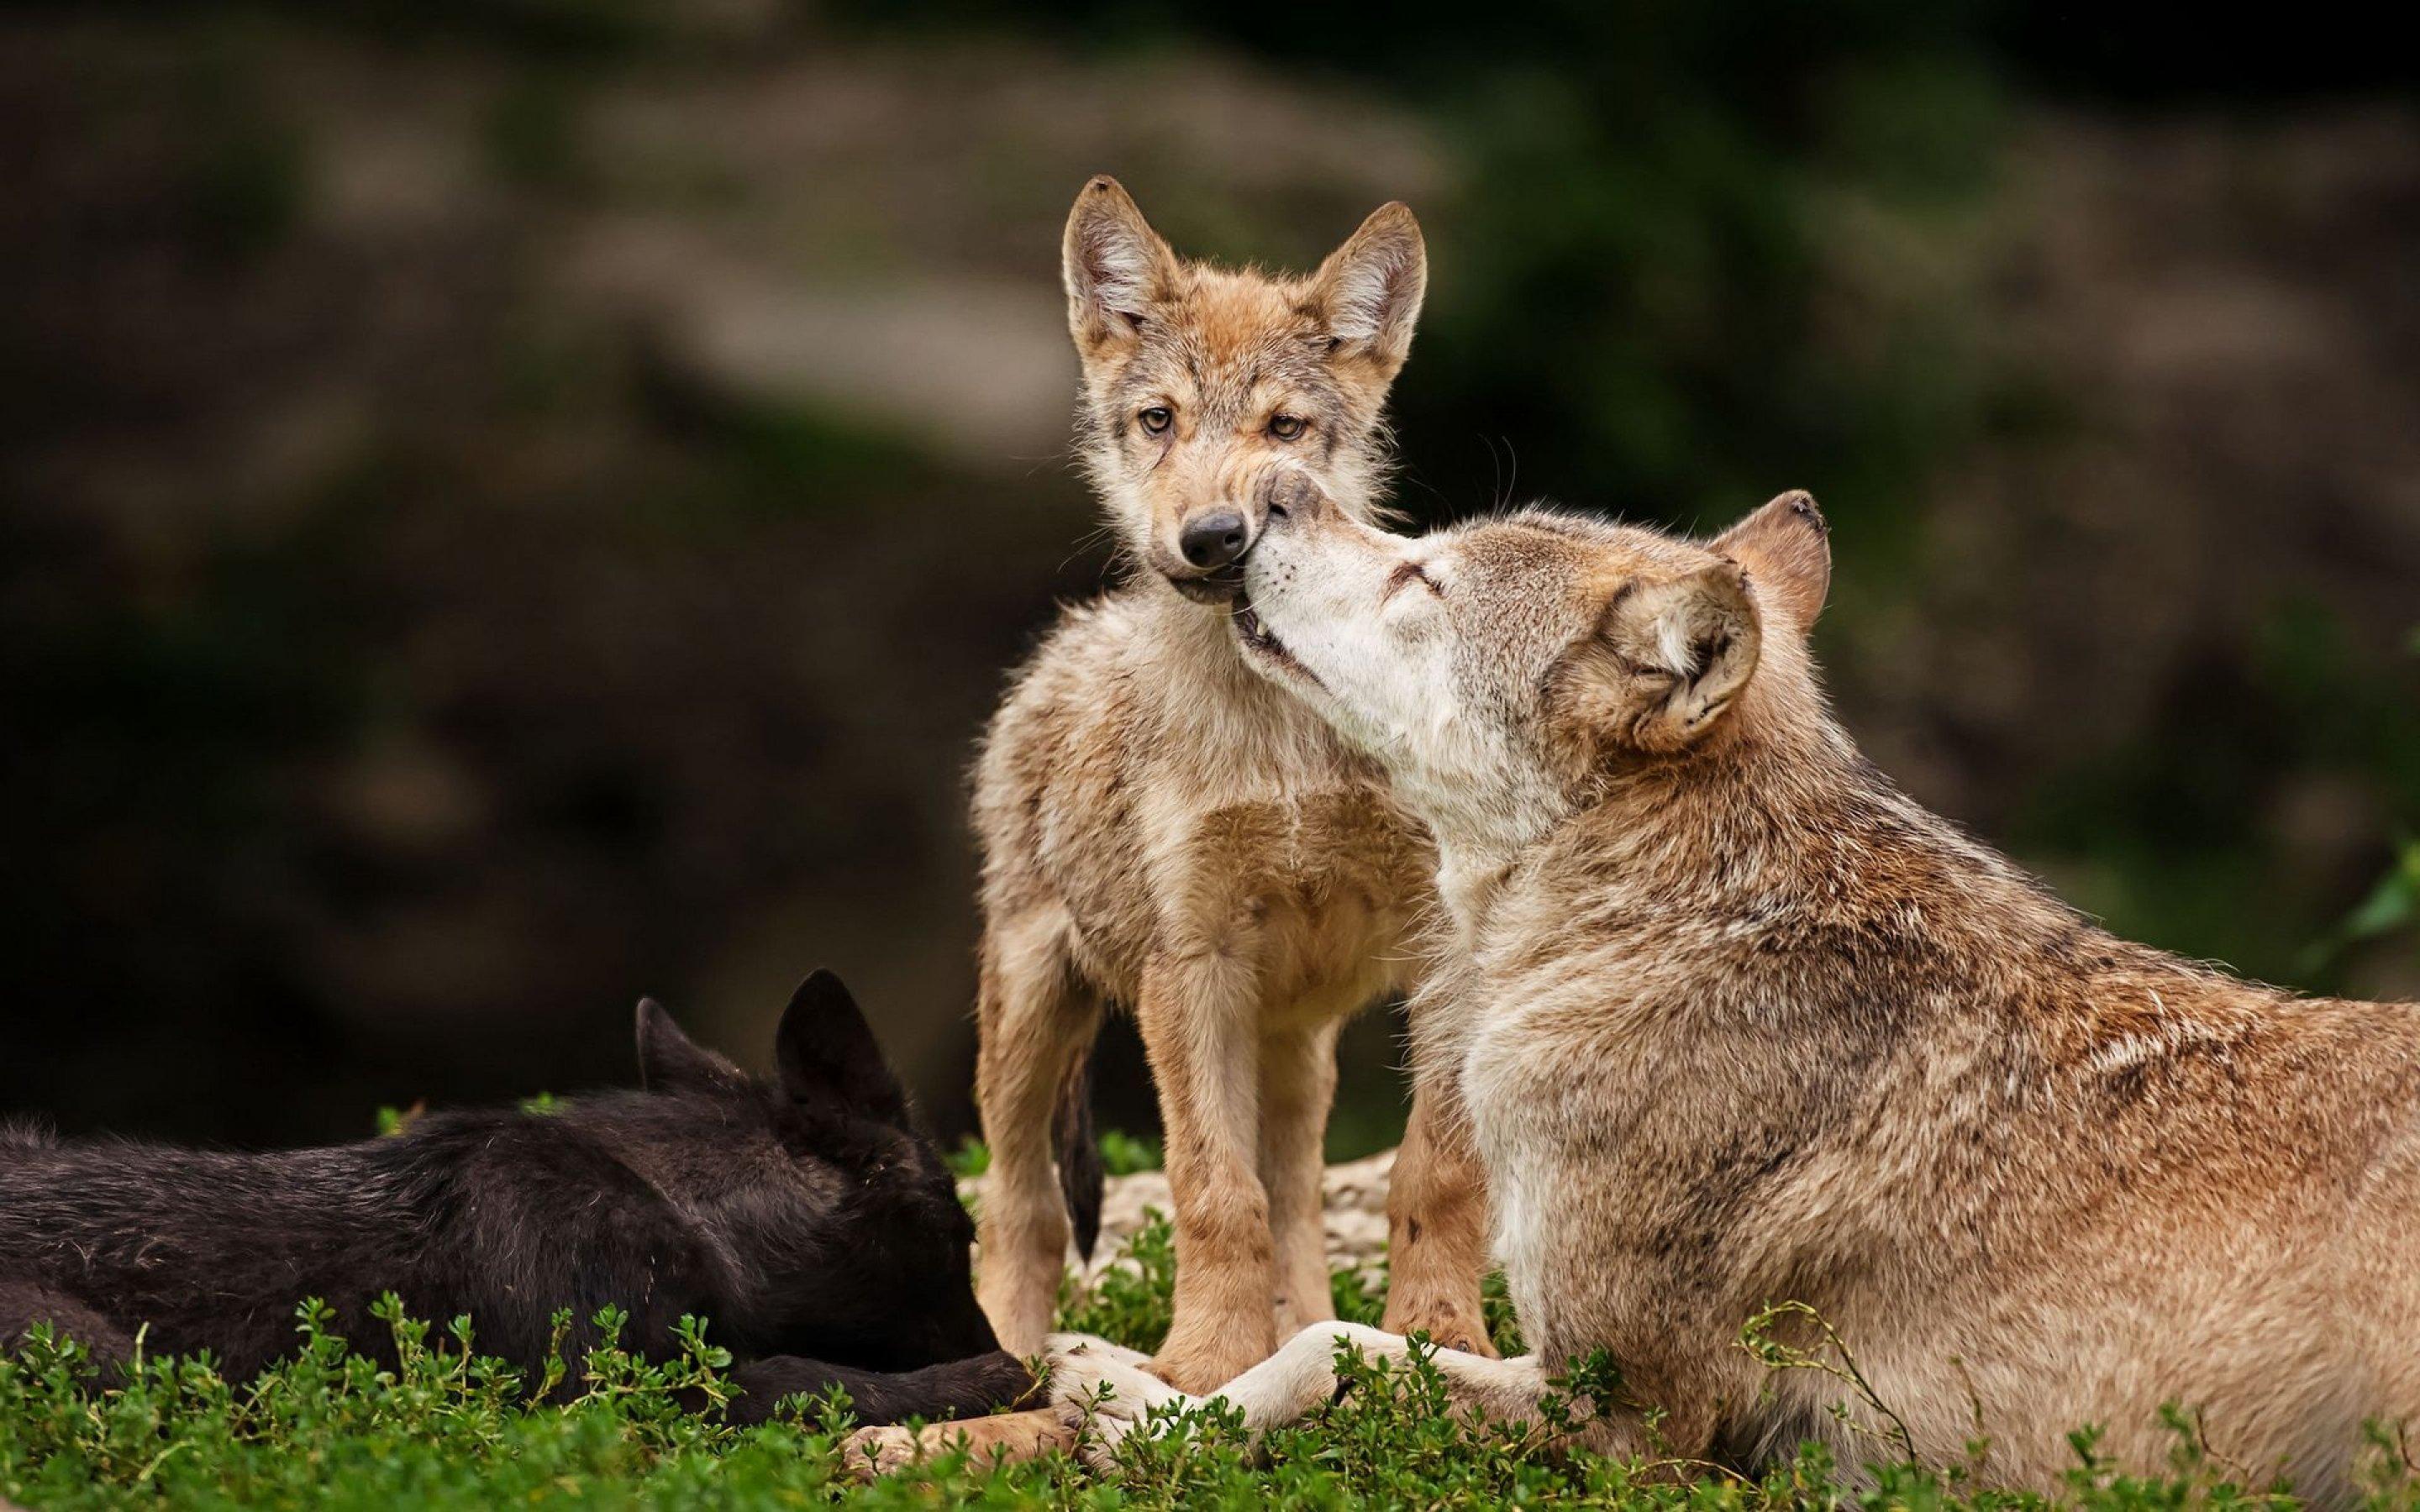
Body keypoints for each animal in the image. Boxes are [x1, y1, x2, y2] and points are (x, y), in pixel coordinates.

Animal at [0, 972, 1034, 1427]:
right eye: (959, 1232)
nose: (990, 1333)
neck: (714, 1239)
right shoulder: (611, 1381)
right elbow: (818, 1380)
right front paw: (994, 1377)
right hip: (100, 1359)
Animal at [969, 178, 1492, 1392]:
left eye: (1282, 431)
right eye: (1159, 421)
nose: (1216, 536)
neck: (1283, 731)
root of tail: (1064, 647)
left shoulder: (1442, 951)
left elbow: (1432, 1175)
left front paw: (1445, 1338)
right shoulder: (1190, 963)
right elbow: (1214, 1193)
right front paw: (1204, 1368)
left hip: (1291, 1040)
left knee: (1297, 1194)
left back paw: (1309, 1338)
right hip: (1032, 1015)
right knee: (1018, 1214)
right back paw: (1009, 1363)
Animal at [1048, 485, 2420, 1499]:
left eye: (1420, 578)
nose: (1270, 496)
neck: (1672, 930)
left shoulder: (1636, 1419)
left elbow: (1333, 1352)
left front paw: (1131, 1415)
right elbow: (1319, 1338)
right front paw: (1115, 1379)